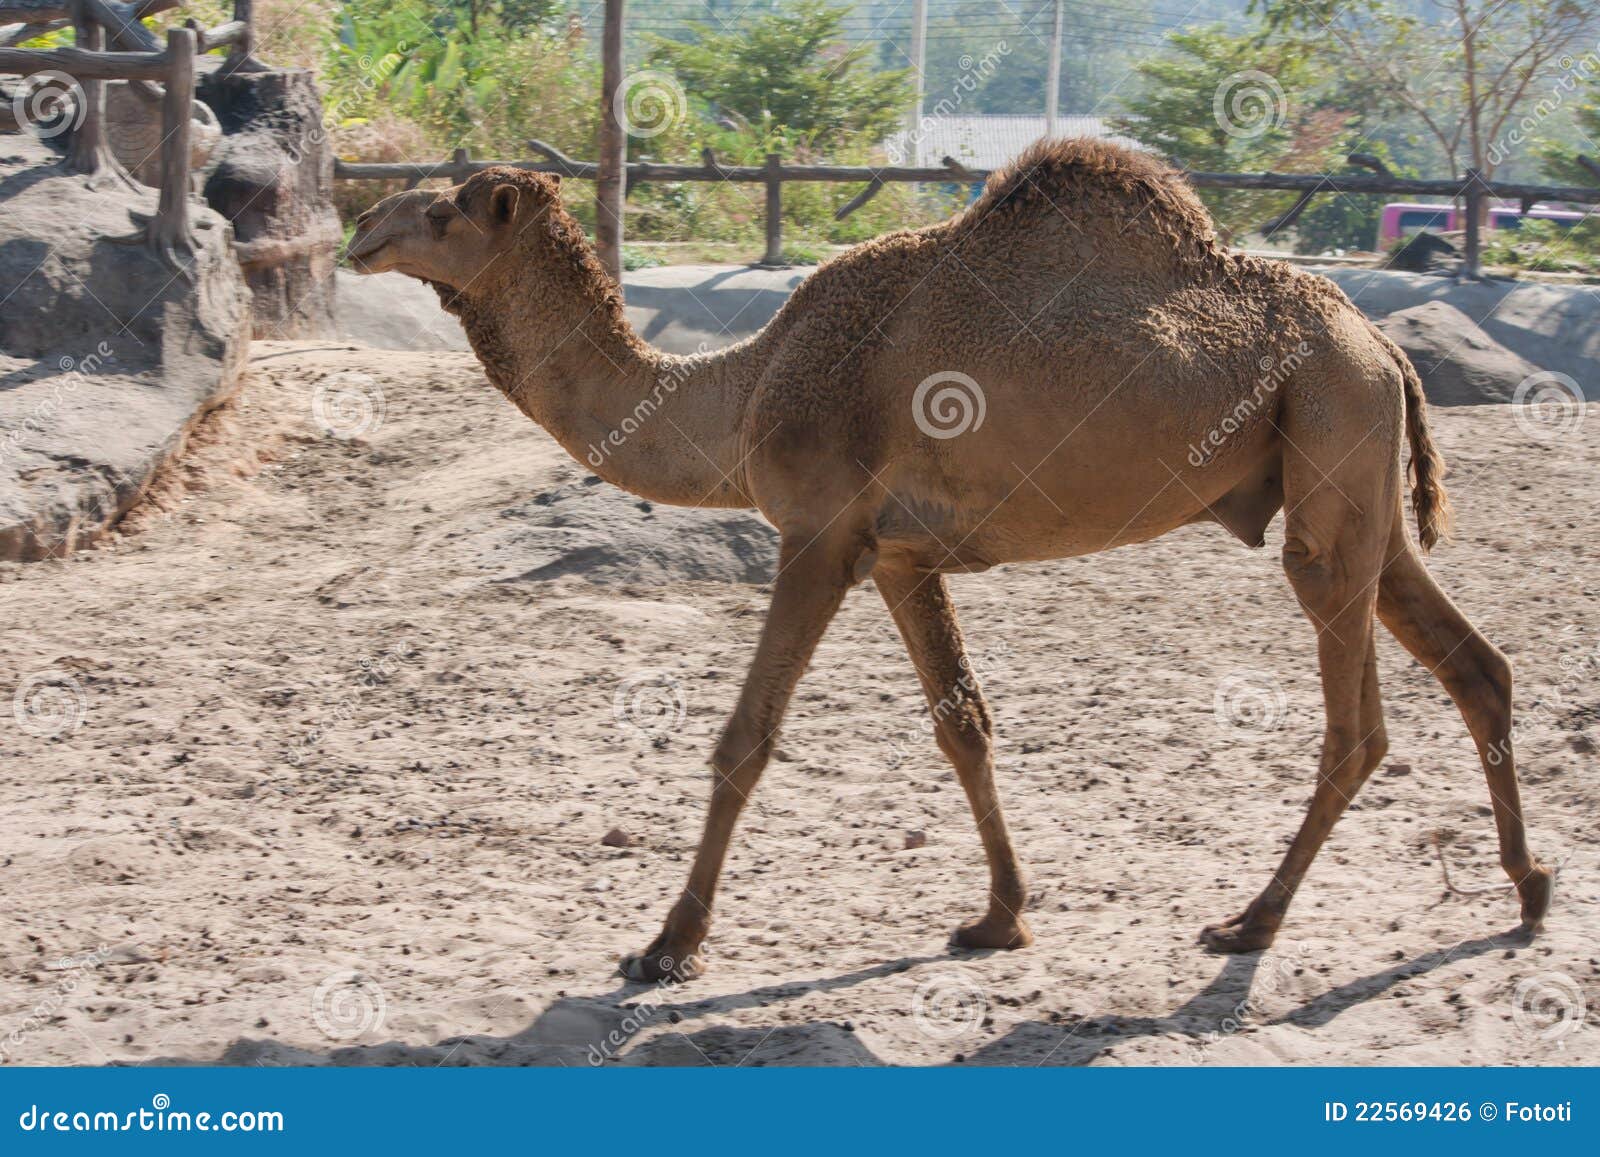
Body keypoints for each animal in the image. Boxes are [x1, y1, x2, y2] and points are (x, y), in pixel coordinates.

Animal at [347, 138, 1551, 983]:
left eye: (444, 207)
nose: (361, 225)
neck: (743, 387)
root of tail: (1382, 340)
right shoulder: (898, 555)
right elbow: (963, 723)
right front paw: (999, 915)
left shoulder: (816, 532)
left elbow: (745, 739)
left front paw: (667, 944)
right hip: (1353, 467)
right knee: (1474, 662)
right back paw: (1529, 889)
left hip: (1329, 446)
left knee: (1358, 720)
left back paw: (1251, 920)